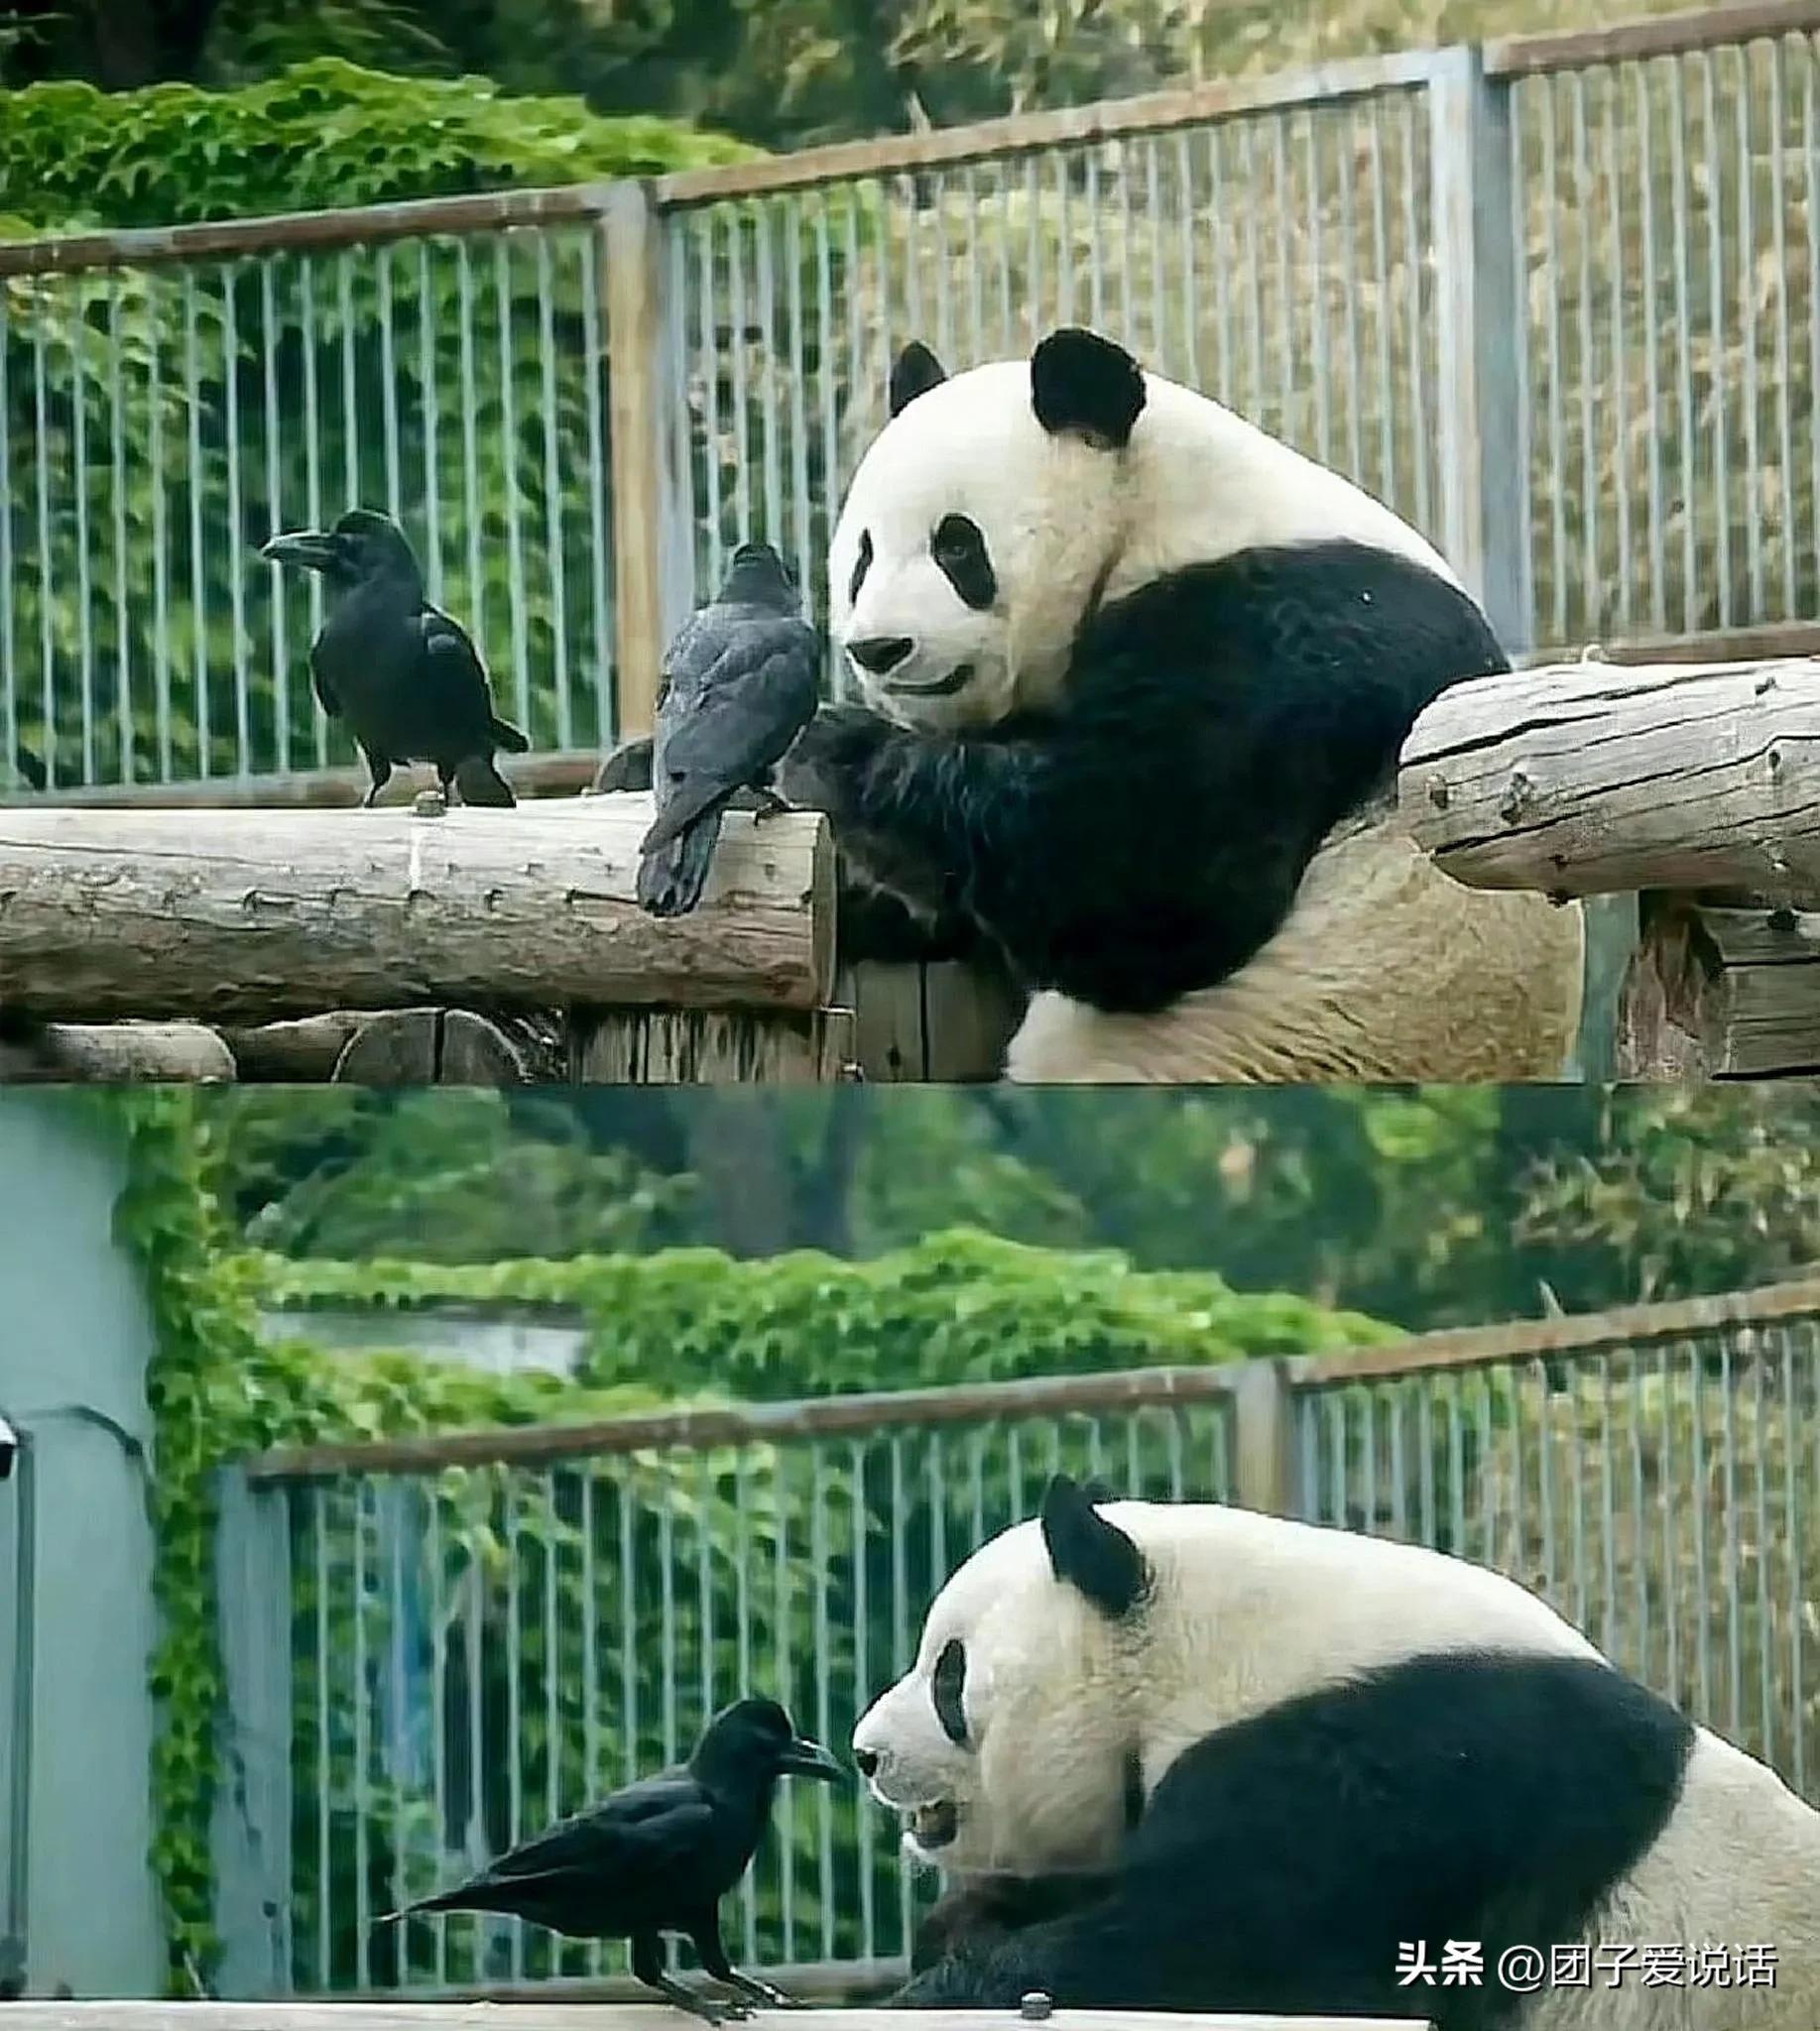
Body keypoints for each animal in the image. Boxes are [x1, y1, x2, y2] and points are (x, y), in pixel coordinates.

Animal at [778, 326, 1584, 1083]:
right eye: (862, 555)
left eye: (956, 547)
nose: (877, 648)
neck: (1155, 510)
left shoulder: (1281, 639)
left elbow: (1144, 871)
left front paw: (834, 751)